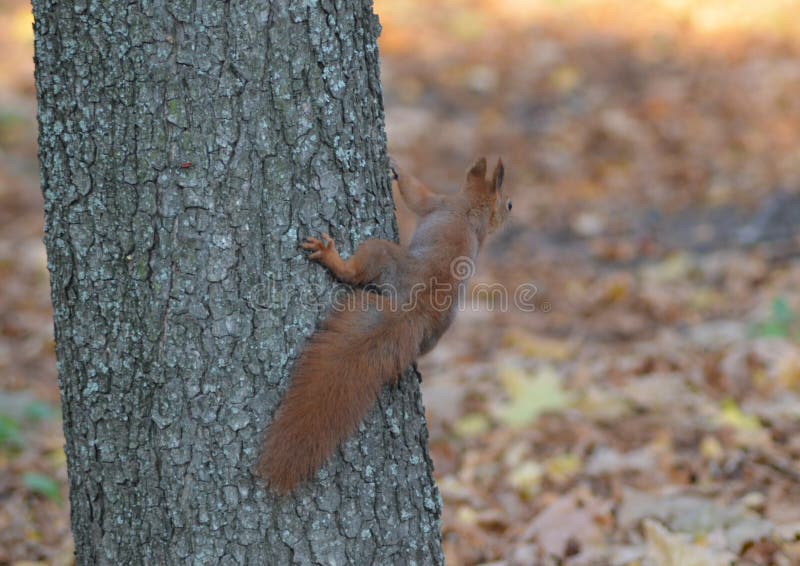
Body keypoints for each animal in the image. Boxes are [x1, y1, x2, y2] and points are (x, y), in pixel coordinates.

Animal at [256, 156, 511, 493]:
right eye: (508, 204)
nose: (509, 213)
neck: (473, 209)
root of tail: (410, 310)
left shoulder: (439, 203)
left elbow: (416, 196)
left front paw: (397, 169)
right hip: (437, 333)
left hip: (381, 252)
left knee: (354, 271)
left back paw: (331, 257)